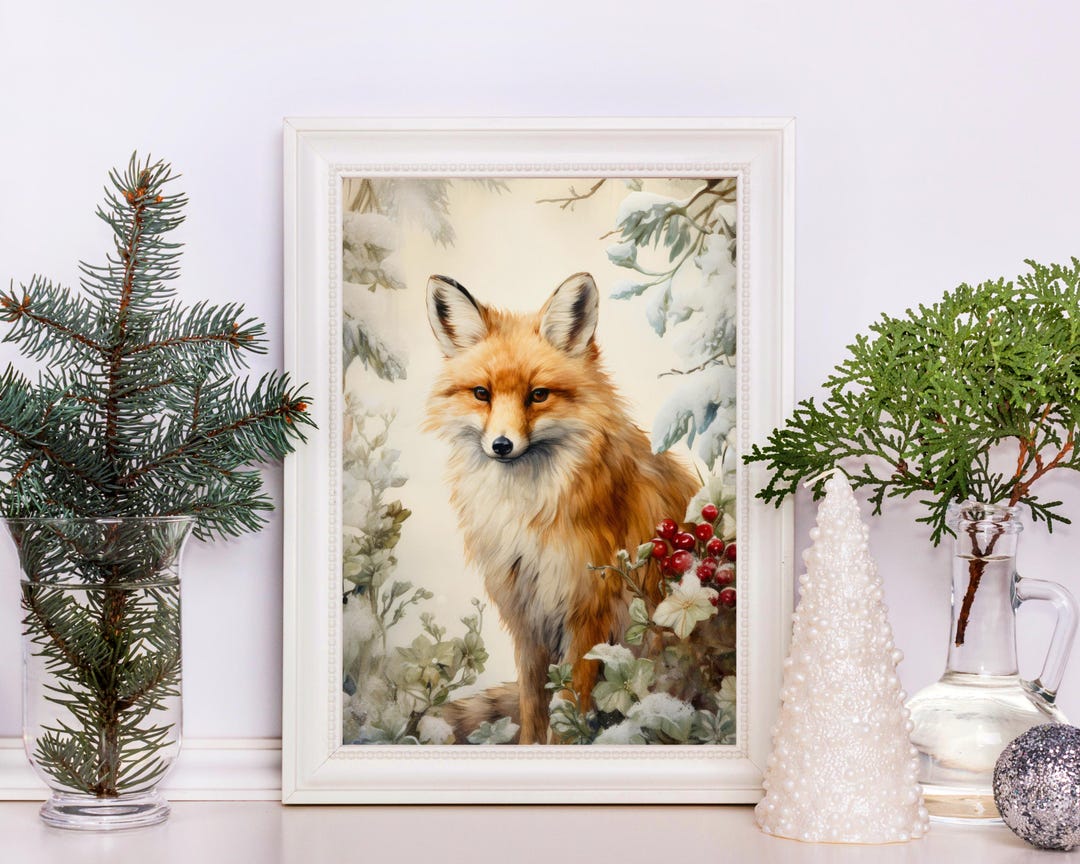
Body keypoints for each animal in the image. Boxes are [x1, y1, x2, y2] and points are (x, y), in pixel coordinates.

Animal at [423, 272, 698, 744]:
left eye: (538, 395)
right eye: (481, 394)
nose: (501, 445)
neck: (526, 512)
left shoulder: (587, 613)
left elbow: (568, 710)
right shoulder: (526, 616)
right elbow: (533, 708)